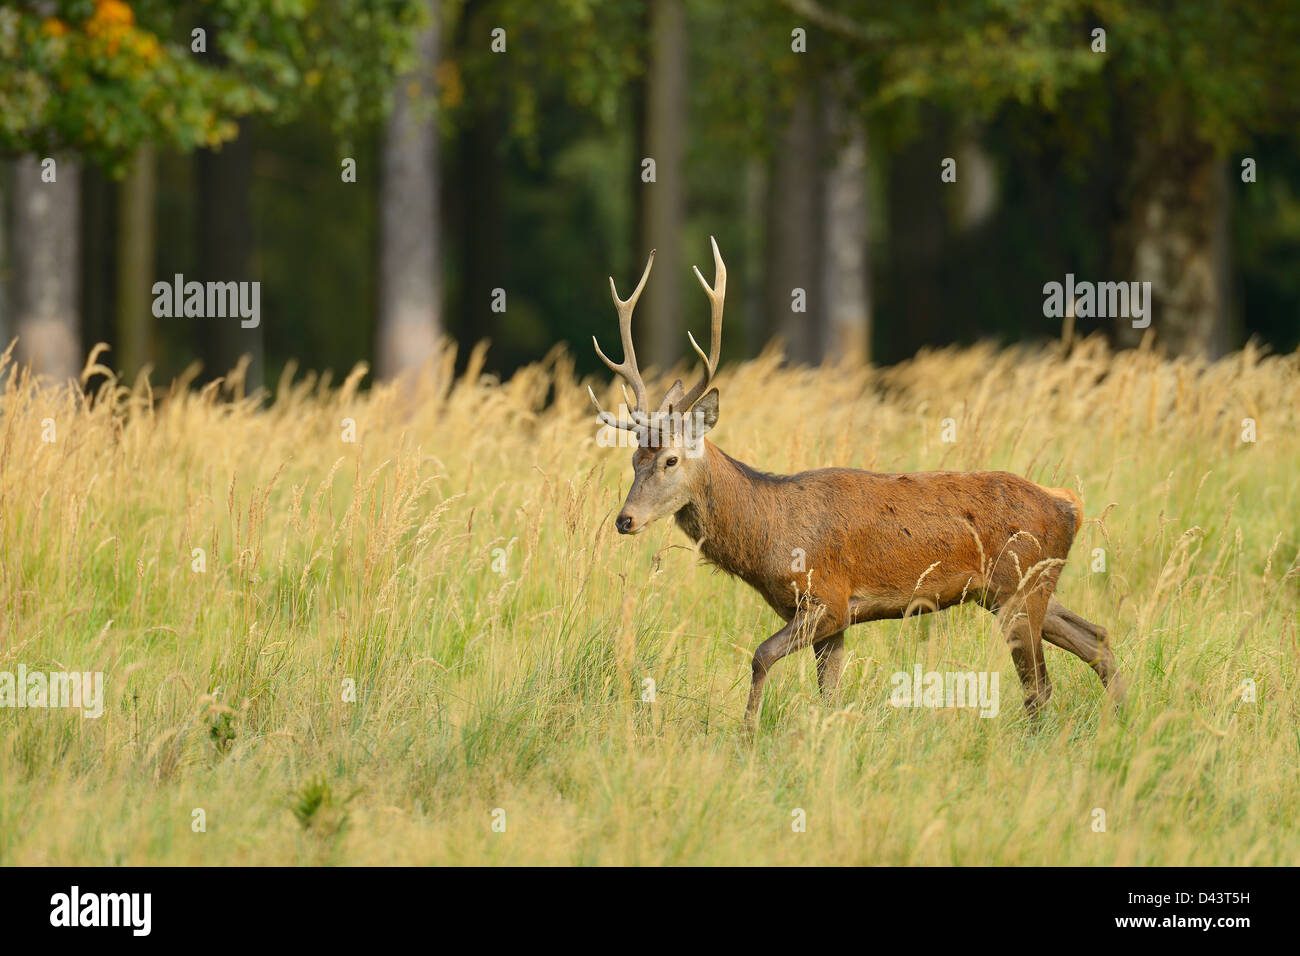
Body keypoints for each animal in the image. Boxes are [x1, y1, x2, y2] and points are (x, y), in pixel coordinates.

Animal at [589, 238, 1124, 725]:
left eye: (671, 460)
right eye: (634, 459)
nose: (625, 519)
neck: (771, 534)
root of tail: (1069, 504)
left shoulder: (828, 598)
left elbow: (761, 655)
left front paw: (747, 734)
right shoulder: (832, 622)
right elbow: (829, 694)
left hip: (1019, 587)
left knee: (1040, 689)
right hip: (1020, 589)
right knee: (1096, 637)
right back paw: (1117, 722)